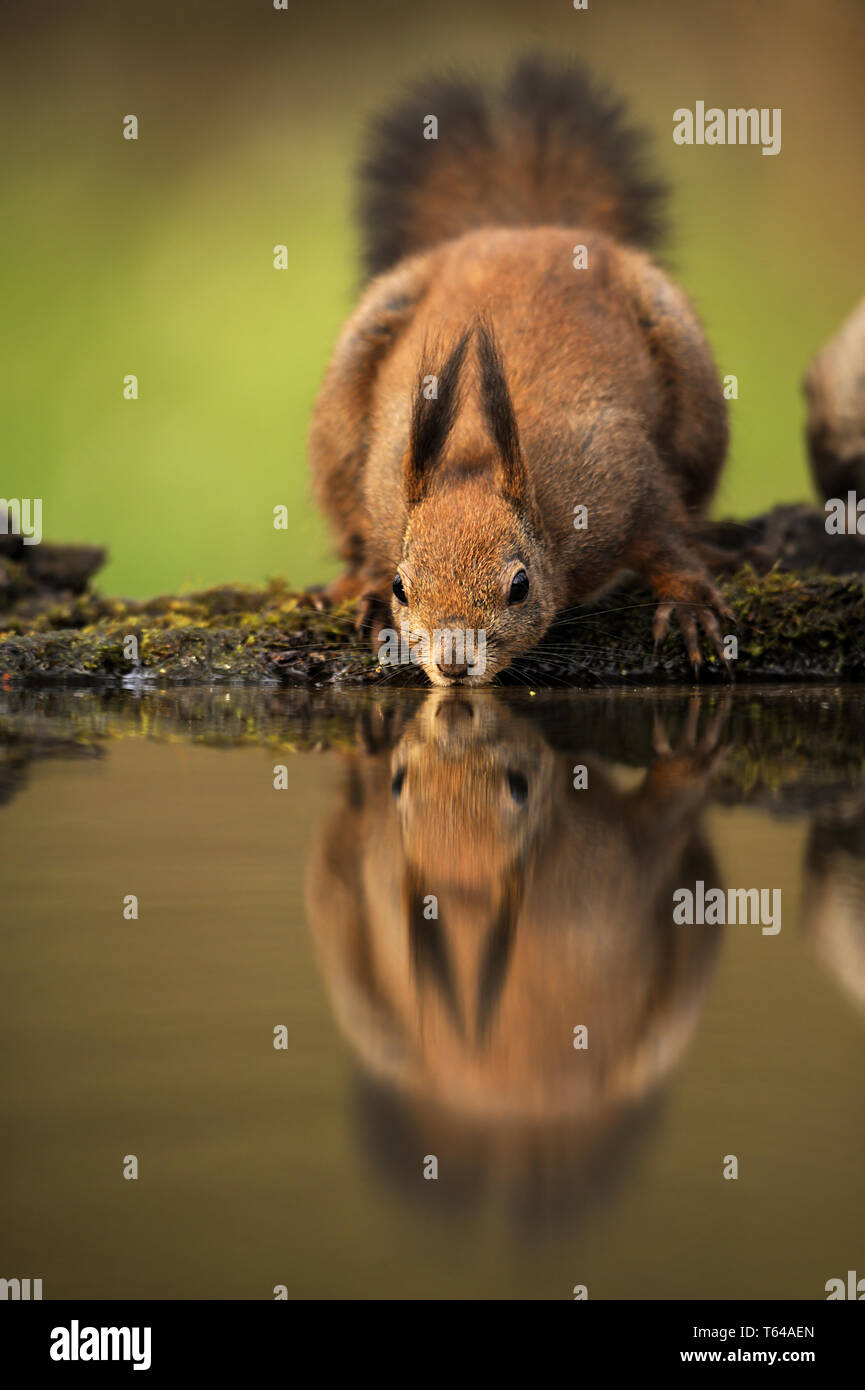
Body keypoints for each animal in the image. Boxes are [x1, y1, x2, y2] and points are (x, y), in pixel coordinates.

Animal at [309, 56, 732, 686]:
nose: (454, 662)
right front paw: (370, 591)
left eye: (520, 585)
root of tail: (527, 229)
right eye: (401, 587)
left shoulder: (616, 478)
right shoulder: (384, 488)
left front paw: (688, 602)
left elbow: (668, 536)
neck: (480, 455)